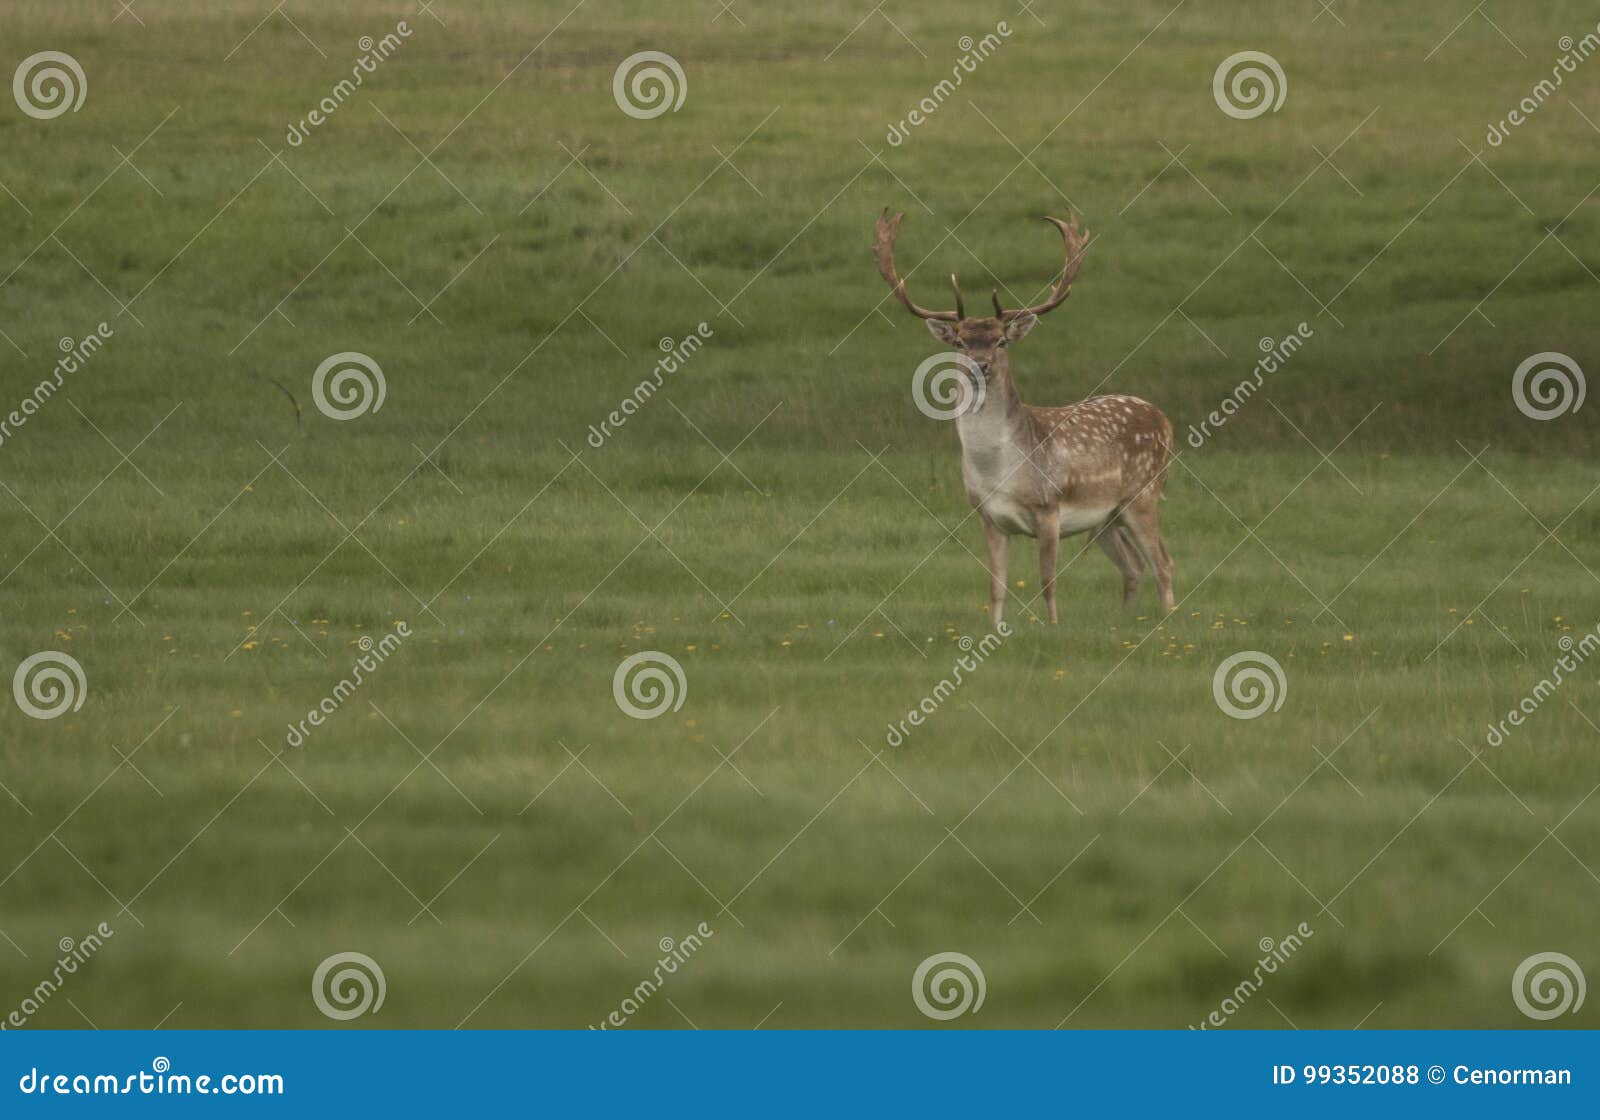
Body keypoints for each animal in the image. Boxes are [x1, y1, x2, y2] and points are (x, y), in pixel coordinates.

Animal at [874, 208, 1175, 628]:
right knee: (1134, 566)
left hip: (1143, 493)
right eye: (961, 341)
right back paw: (1125, 623)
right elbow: (995, 586)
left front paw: (1053, 627)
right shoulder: (988, 517)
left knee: (1163, 561)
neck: (1000, 471)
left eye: (1000, 340)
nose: (980, 364)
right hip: (1104, 517)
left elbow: (1047, 581)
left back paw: (1168, 623)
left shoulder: (1049, 508)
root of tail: (1164, 419)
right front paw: (995, 629)